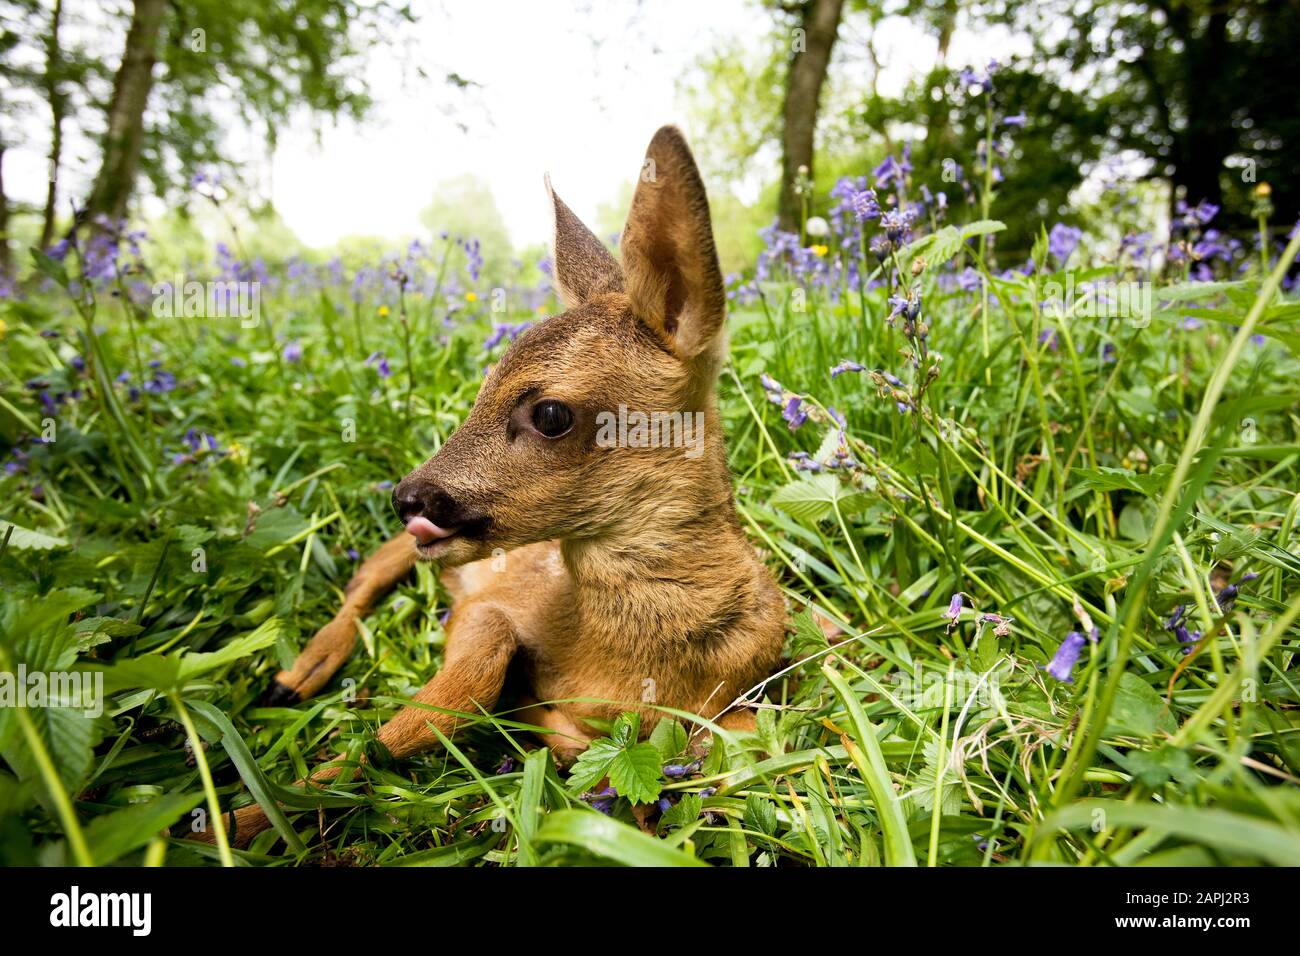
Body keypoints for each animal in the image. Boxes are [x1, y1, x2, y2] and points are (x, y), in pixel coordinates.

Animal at [208, 126, 788, 848]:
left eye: (550, 413)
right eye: (482, 383)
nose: (408, 496)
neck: (633, 670)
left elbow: (754, 737)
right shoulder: (492, 608)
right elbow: (443, 704)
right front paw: (222, 823)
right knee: (372, 573)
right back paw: (295, 678)